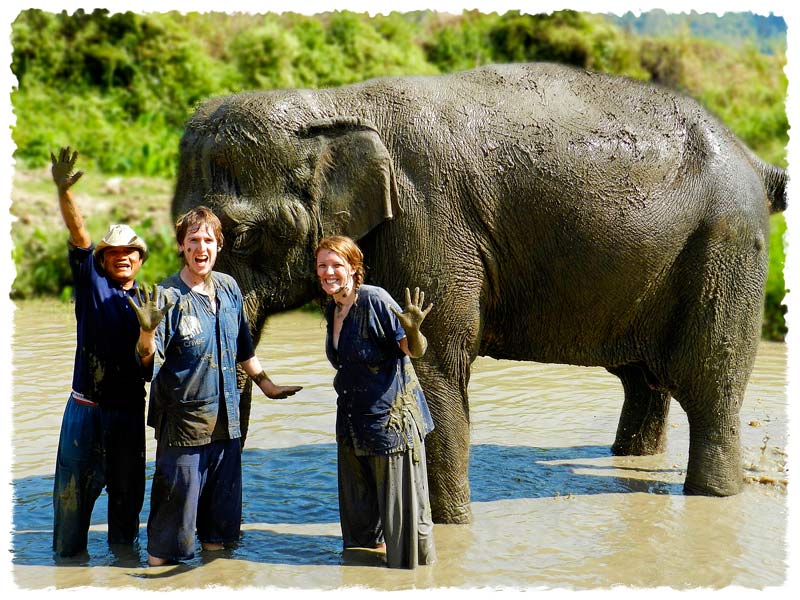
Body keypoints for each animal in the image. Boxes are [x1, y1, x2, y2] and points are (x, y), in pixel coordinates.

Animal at [171, 62, 786, 524]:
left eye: (242, 236)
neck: (333, 104)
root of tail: (755, 161)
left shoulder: (429, 223)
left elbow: (434, 366)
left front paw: (450, 529)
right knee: (643, 381)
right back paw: (635, 461)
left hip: (727, 244)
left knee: (709, 385)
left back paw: (714, 496)